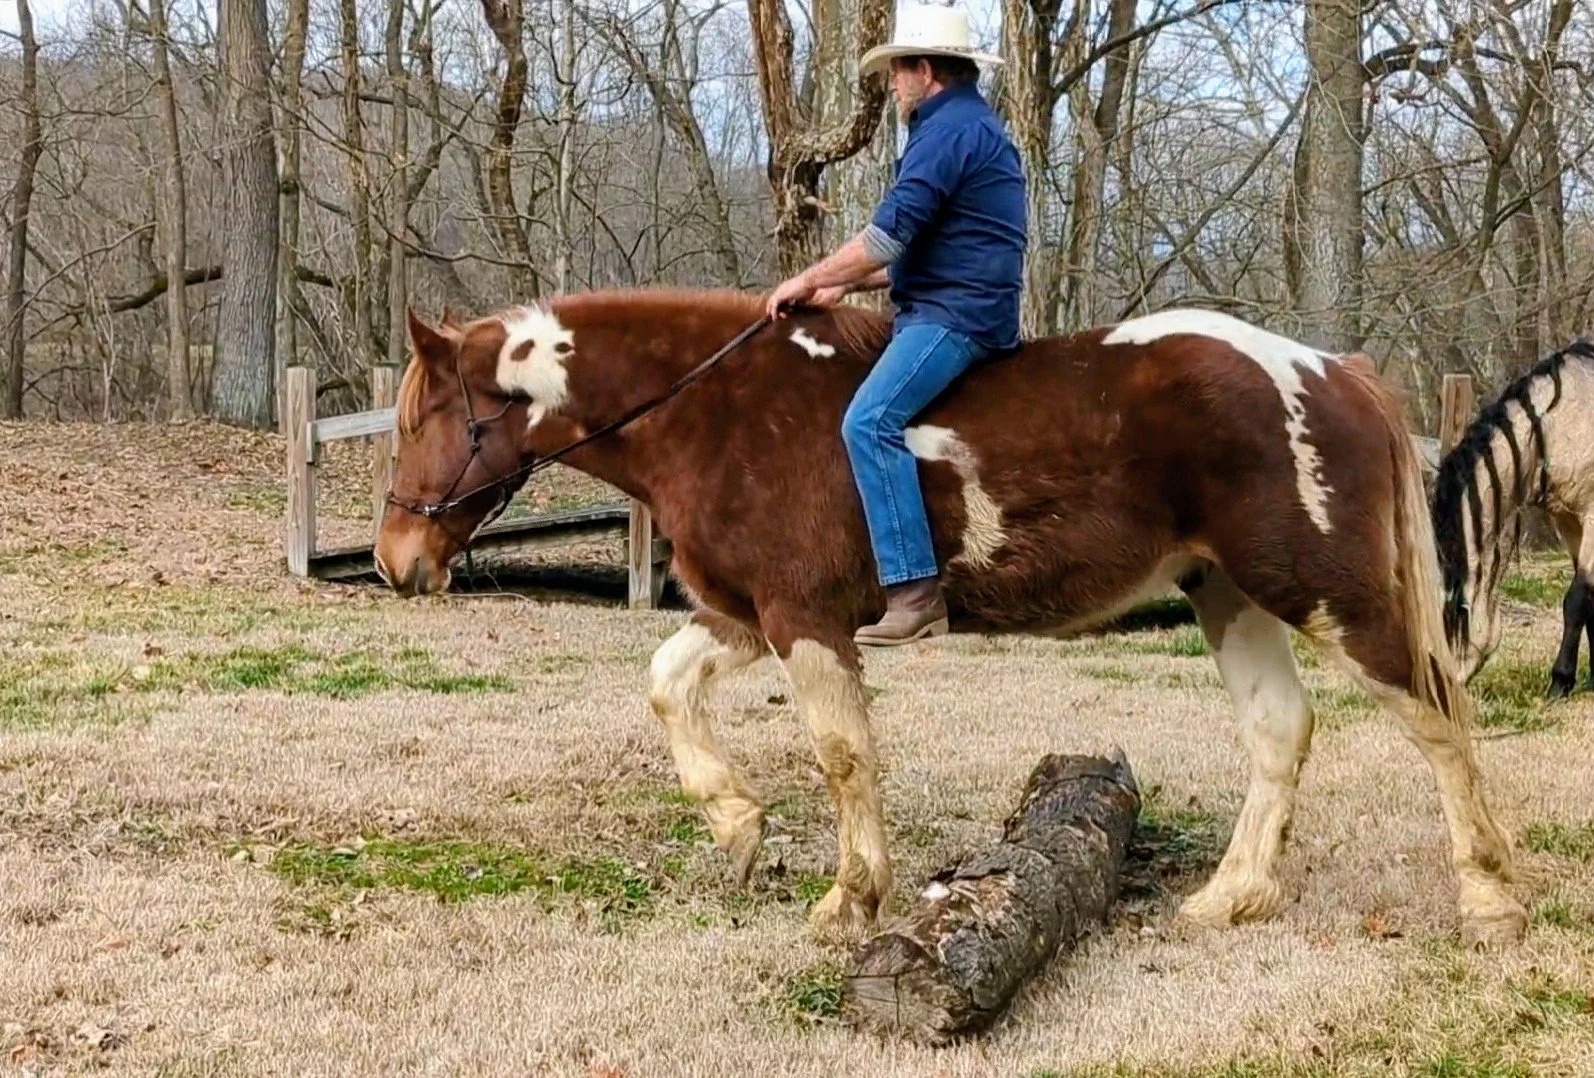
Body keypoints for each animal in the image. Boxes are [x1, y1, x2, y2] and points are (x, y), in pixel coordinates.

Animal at [373, 286, 1526, 948]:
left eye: (428, 415)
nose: (393, 560)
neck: (718, 410)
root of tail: (1334, 370)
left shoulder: (803, 620)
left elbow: (844, 759)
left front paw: (850, 901)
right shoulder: (744, 614)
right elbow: (666, 683)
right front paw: (737, 825)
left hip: (1328, 596)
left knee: (1438, 720)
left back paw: (1488, 899)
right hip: (1230, 594)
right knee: (1281, 732)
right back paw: (1230, 898)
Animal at [1433, 338, 1594, 698]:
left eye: (1456, 611)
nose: (1446, 688)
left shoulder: (1593, 515)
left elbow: (1578, 599)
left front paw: (1560, 681)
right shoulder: (1569, 521)